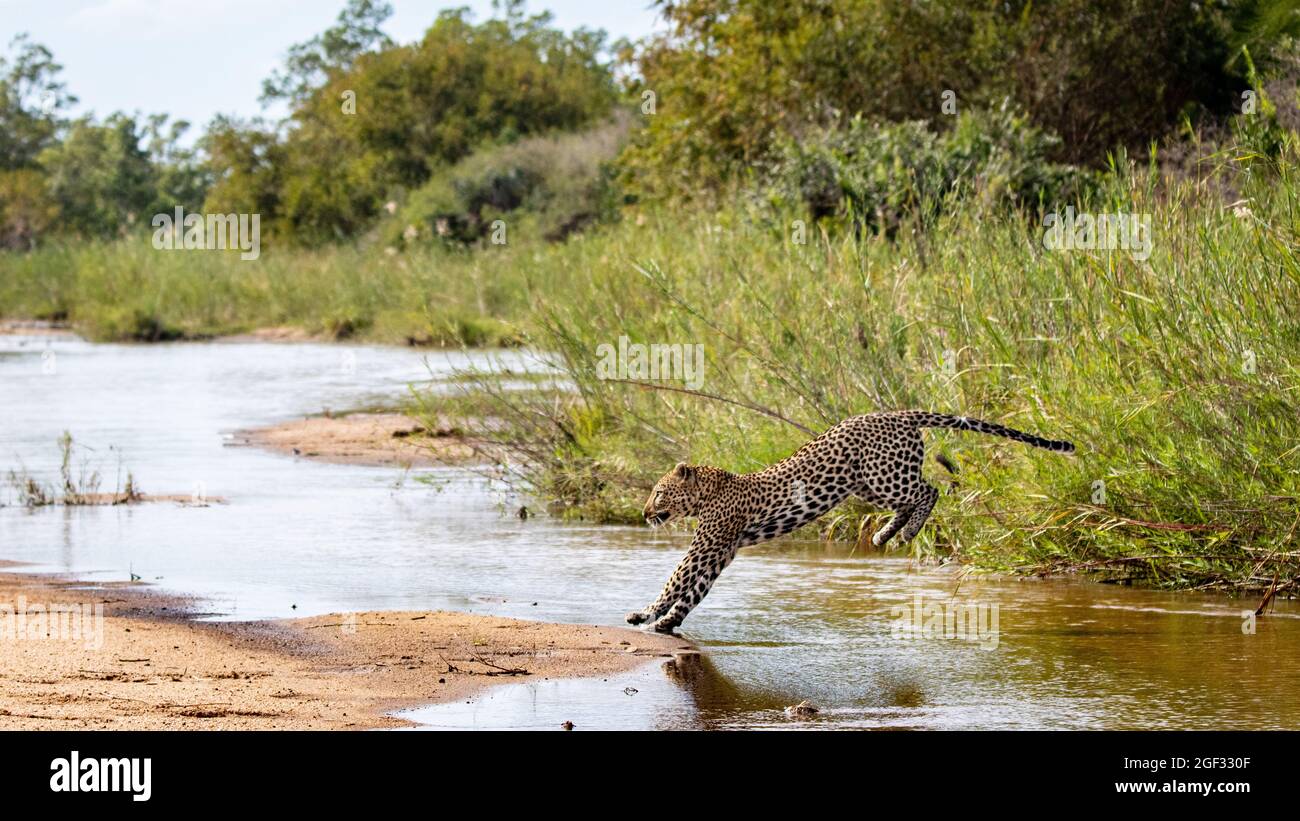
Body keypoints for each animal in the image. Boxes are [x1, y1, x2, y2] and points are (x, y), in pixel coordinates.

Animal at [626, 410, 1074, 634]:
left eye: (659, 493)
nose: (645, 513)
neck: (708, 493)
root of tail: (899, 413)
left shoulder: (708, 545)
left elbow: (676, 581)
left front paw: (643, 615)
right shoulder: (720, 551)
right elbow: (693, 591)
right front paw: (666, 623)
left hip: (885, 476)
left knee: (930, 491)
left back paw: (905, 534)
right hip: (865, 485)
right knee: (914, 498)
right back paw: (885, 535)